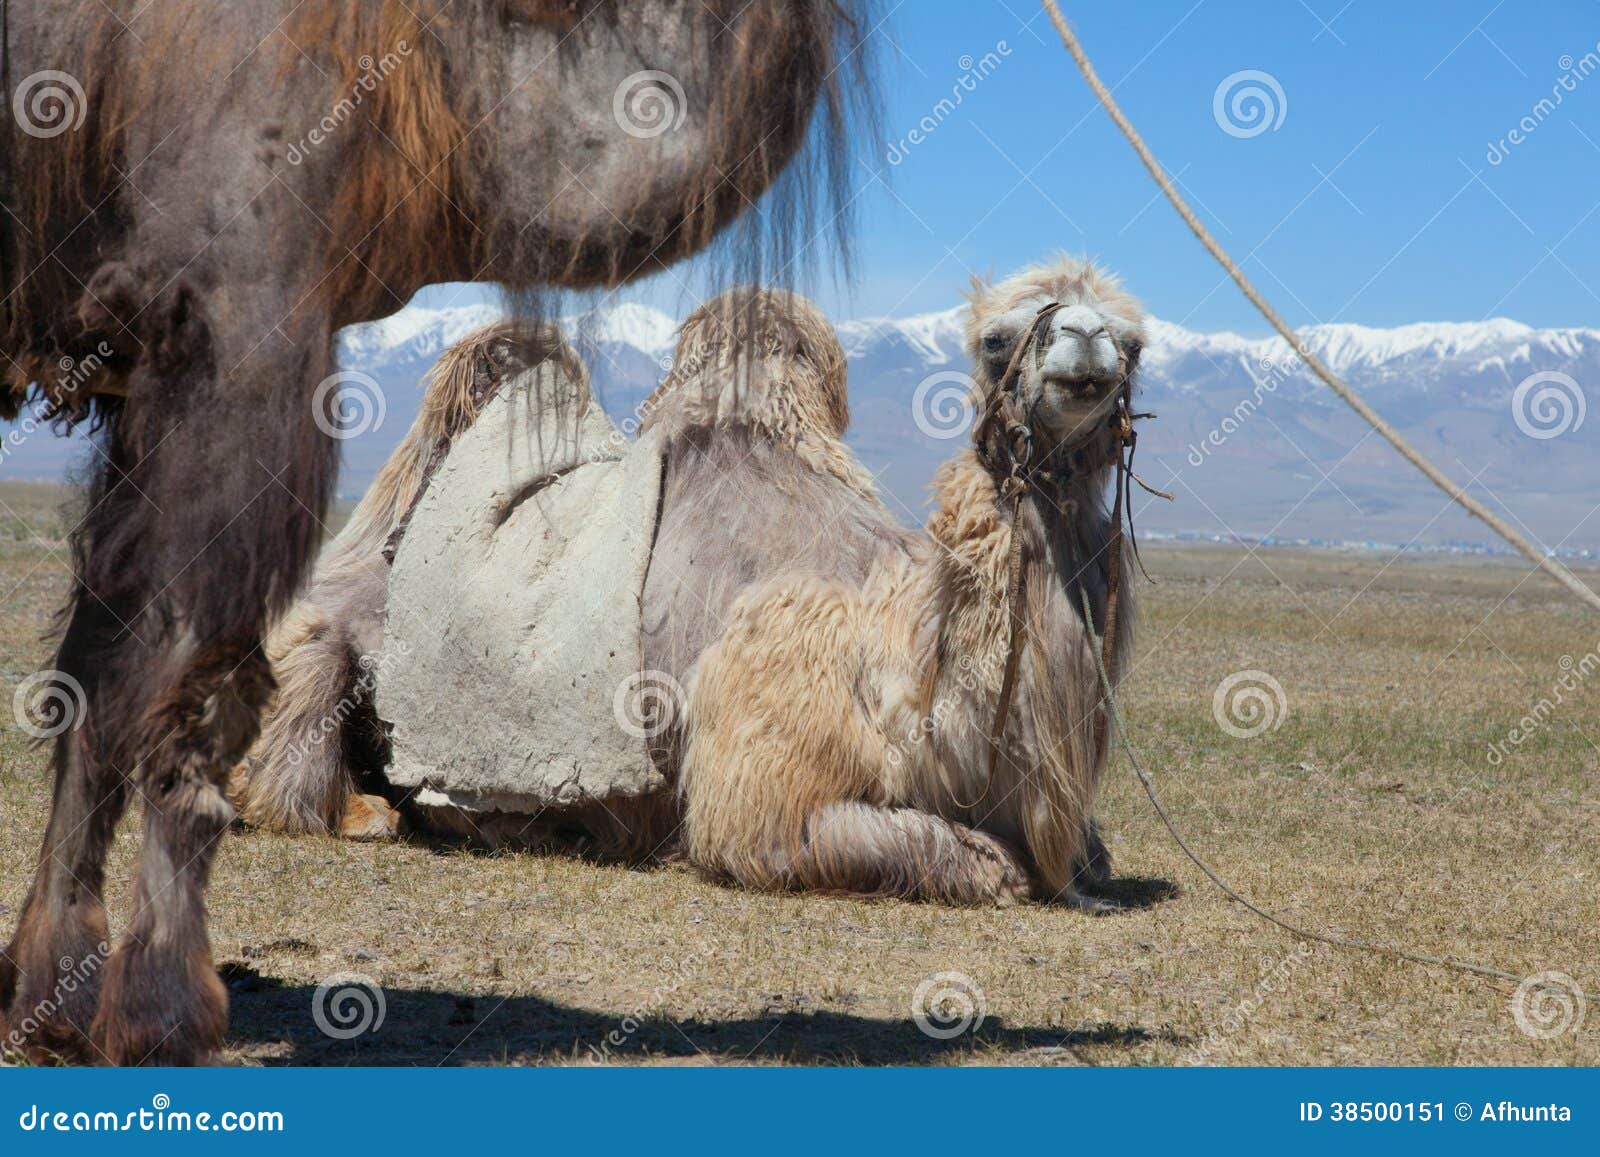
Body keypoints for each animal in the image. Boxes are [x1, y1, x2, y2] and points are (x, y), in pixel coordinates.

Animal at [0, 0, 872, 1065]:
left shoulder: (133, 369)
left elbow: (96, 665)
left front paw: (53, 1000)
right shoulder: (234, 312)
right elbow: (187, 676)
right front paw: (162, 1013)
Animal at [673, 256, 1145, 908]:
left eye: (1135, 346)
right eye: (994, 342)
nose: (1086, 338)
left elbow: (1089, 856)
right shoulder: (762, 801)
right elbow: (963, 857)